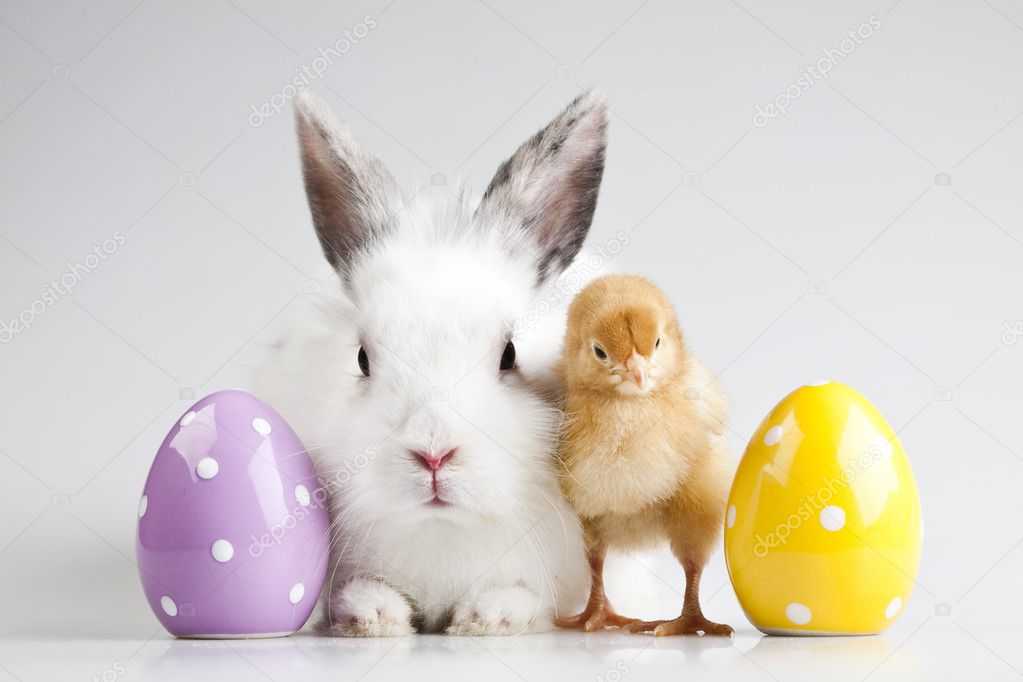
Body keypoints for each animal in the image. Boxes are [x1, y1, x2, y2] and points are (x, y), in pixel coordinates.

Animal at [252, 87, 610, 636]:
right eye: (363, 358)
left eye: (510, 355)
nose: (434, 455)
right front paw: (373, 615)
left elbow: (528, 598)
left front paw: (490, 618)